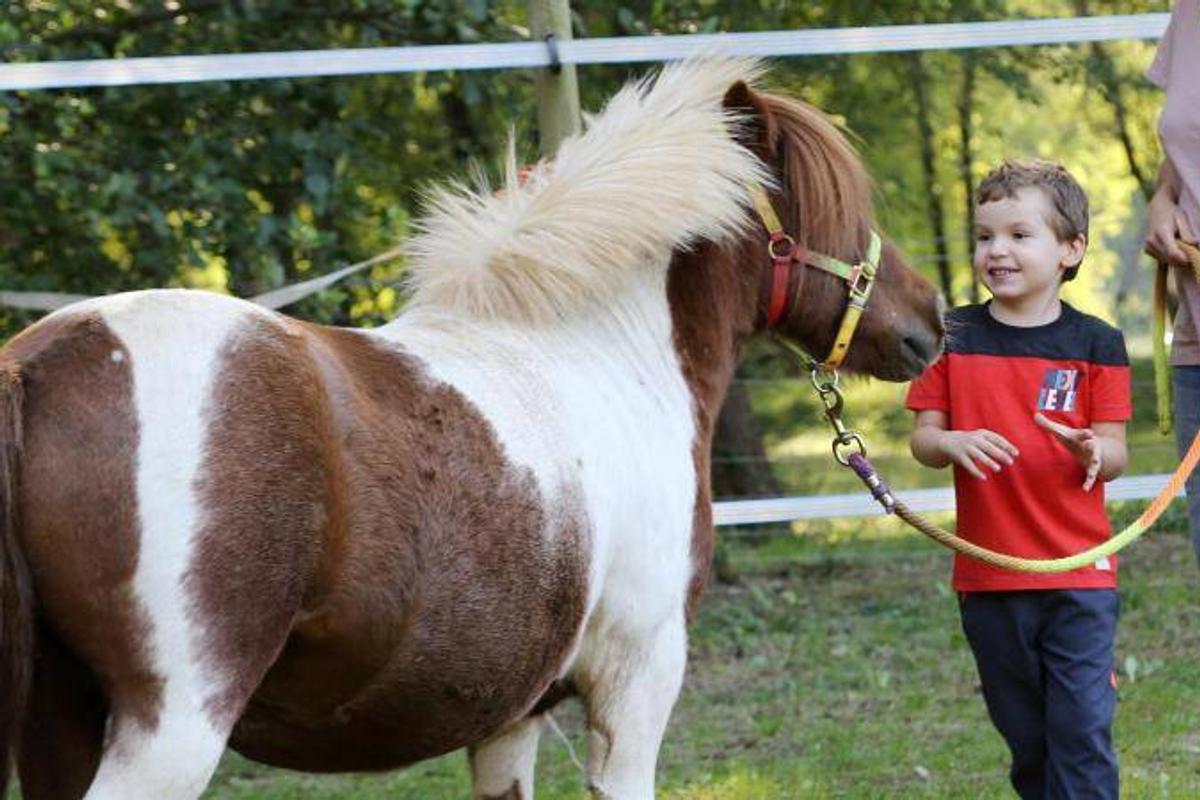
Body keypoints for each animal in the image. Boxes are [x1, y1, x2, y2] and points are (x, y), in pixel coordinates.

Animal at [0, 59, 942, 800]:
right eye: (837, 207)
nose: (929, 323)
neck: (605, 355)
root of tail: (37, 367)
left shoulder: (508, 719)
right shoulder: (634, 690)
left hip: (59, 721)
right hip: (169, 733)